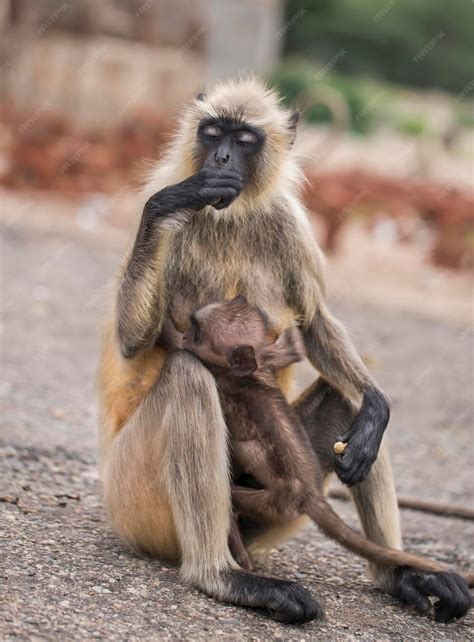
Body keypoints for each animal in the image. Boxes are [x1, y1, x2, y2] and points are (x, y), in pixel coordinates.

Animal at [98, 77, 473, 624]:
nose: (222, 157)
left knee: (350, 402)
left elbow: (313, 321)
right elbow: (135, 343)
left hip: (270, 514)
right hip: (136, 505)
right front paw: (175, 202)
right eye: (213, 132)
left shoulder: (288, 222)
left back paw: (398, 574)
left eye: (244, 139)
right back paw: (220, 576)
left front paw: (376, 411)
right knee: (188, 377)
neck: (230, 216)